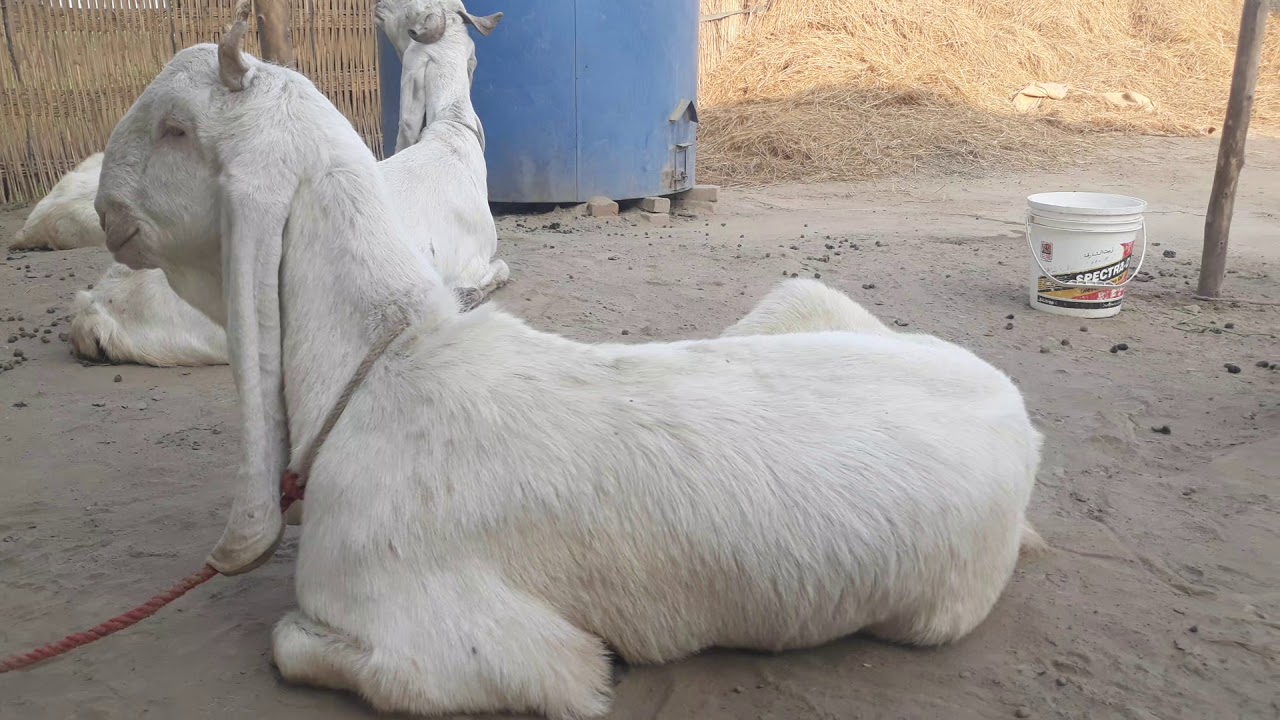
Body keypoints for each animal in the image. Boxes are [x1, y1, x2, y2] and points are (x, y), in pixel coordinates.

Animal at [70, 0, 506, 366]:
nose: (379, 6)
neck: (451, 133)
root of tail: (97, 310)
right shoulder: (474, 259)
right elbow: (498, 271)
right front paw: (467, 294)